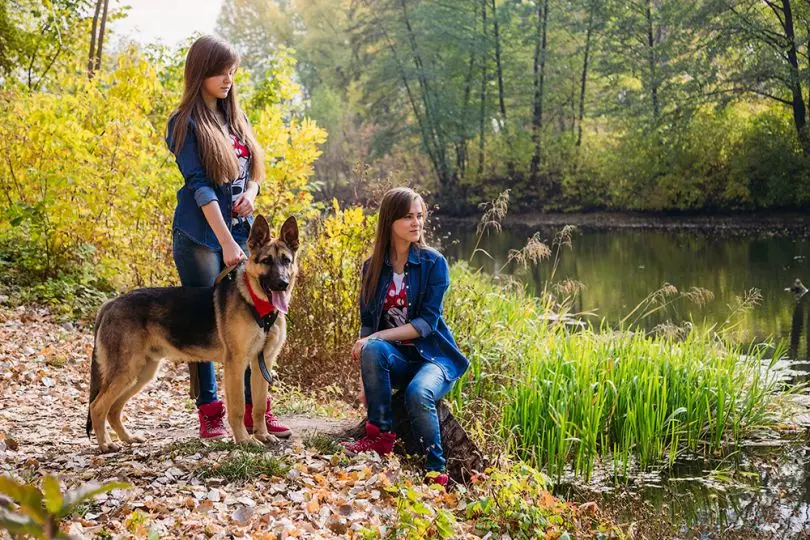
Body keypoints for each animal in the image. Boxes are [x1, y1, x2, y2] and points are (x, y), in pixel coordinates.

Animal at [86, 215, 300, 452]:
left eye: (286, 260)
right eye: (267, 261)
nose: (282, 283)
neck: (255, 302)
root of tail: (110, 303)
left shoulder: (262, 363)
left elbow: (259, 406)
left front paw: (262, 435)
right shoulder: (236, 364)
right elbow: (237, 406)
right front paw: (244, 440)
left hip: (142, 373)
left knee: (114, 408)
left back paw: (127, 438)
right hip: (126, 371)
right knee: (98, 406)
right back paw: (106, 444)